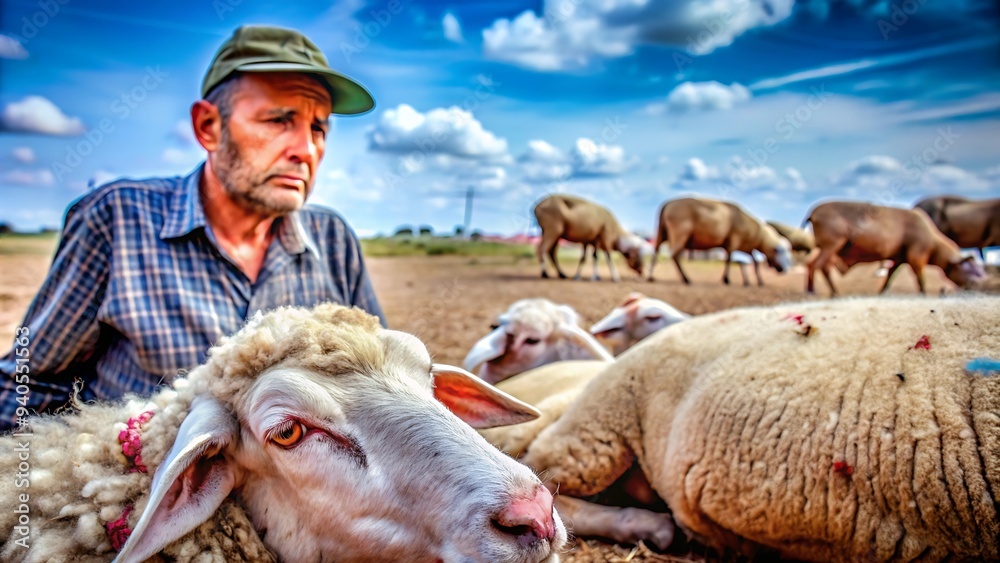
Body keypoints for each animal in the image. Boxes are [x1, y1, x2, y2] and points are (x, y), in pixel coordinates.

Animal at [648, 197, 793, 286]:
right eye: (780, 251)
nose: (784, 270)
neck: (757, 234)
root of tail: (667, 203)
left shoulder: (747, 247)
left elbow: (755, 262)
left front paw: (757, 281)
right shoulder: (734, 240)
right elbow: (729, 259)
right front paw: (726, 279)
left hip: (662, 233)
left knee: (655, 252)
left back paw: (651, 277)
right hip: (680, 233)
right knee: (674, 256)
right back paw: (686, 279)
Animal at [804, 201, 987, 295]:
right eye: (971, 269)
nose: (980, 283)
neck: (933, 246)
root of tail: (812, 213)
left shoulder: (899, 257)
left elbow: (890, 275)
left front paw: (881, 292)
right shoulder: (916, 254)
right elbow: (919, 276)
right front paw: (924, 293)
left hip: (829, 247)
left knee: (816, 265)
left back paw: (828, 291)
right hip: (832, 243)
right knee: (816, 265)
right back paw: (817, 291)